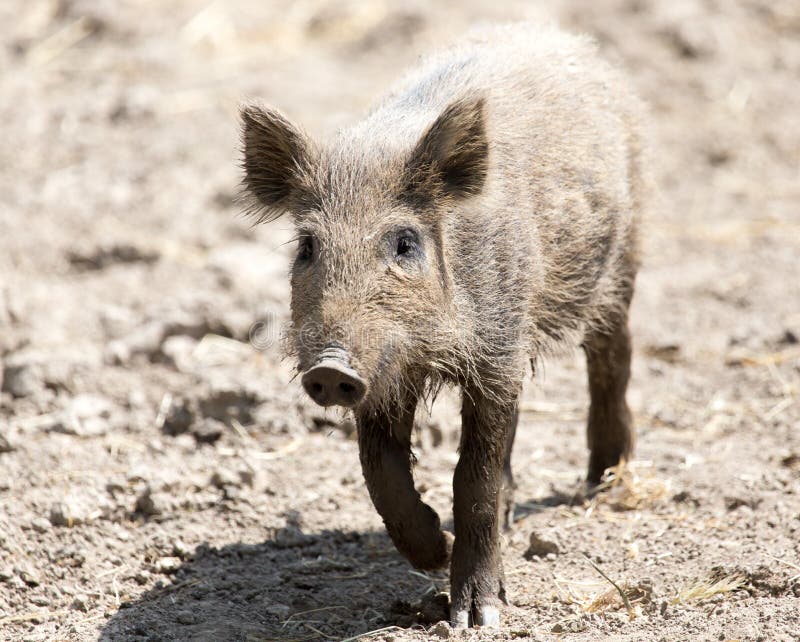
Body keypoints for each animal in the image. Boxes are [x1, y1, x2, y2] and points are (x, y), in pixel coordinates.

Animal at [240, 23, 647, 629]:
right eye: (308, 246)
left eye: (405, 242)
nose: (331, 368)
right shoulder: (386, 374)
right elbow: (380, 472)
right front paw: (437, 549)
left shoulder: (497, 349)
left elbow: (472, 477)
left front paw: (476, 617)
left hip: (620, 260)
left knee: (611, 357)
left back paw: (600, 482)